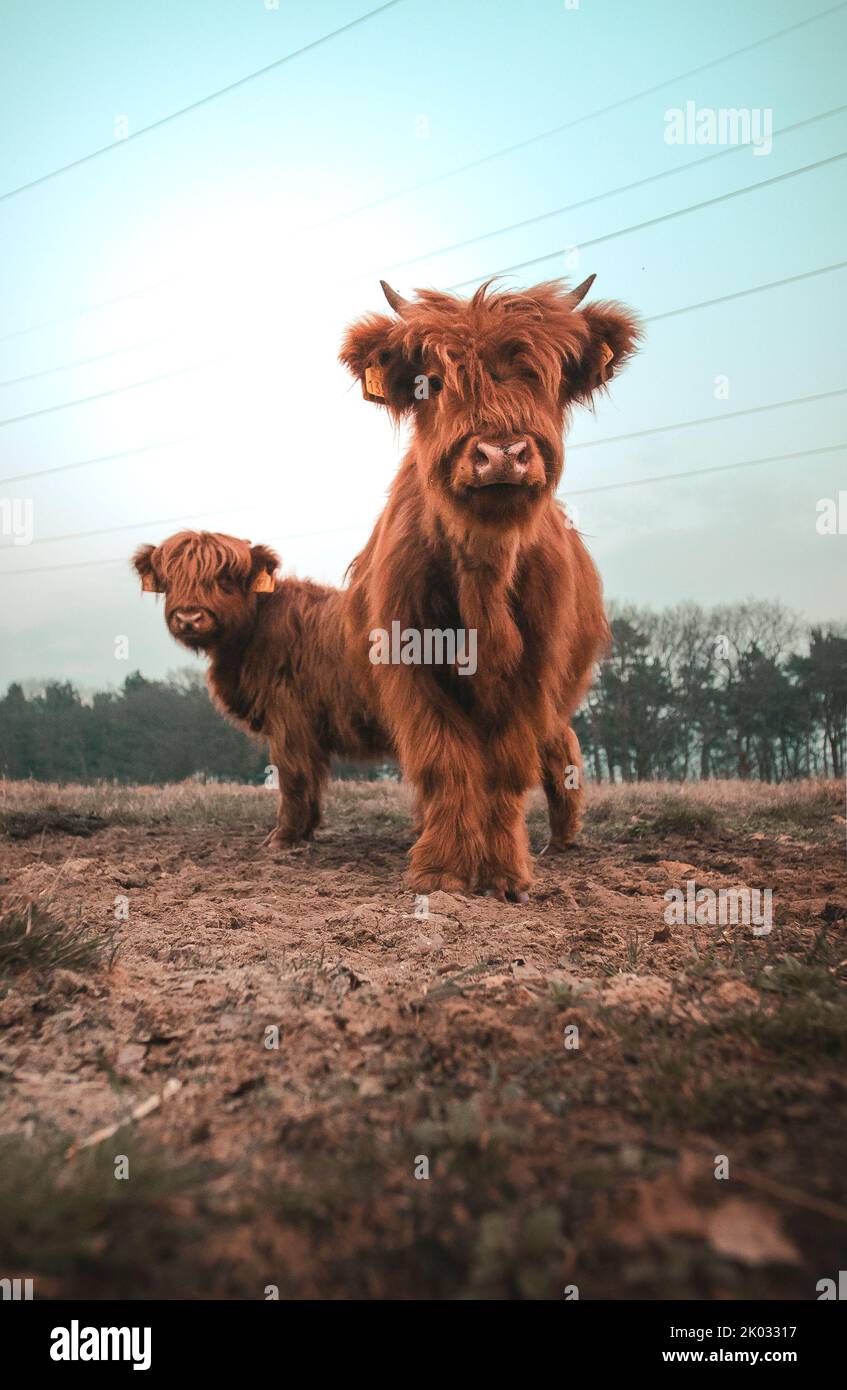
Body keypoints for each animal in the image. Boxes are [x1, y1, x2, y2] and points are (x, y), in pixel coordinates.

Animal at [339, 276, 641, 899]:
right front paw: (441, 869)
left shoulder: (535, 672)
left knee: (560, 743)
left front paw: (504, 873)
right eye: (431, 382)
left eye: (546, 376)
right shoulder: (411, 668)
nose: (502, 453)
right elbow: (443, 762)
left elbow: (507, 766)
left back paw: (564, 839)